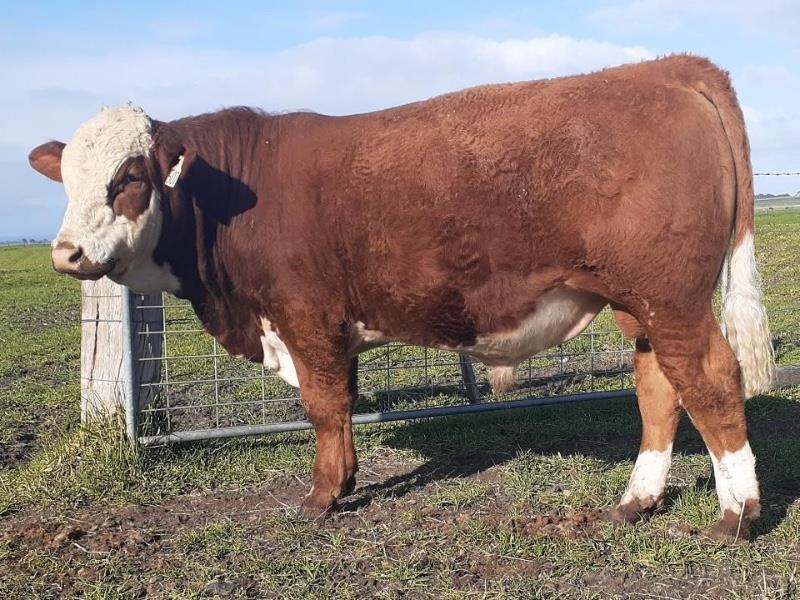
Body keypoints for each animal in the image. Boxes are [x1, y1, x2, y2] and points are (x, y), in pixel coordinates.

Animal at [29, 55, 773, 541]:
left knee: (711, 378)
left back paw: (736, 514)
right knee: (660, 386)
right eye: (66, 180)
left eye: (128, 178)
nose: (66, 253)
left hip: (671, 296)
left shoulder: (306, 317)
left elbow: (325, 405)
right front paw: (343, 482)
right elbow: (341, 406)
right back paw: (636, 502)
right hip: (639, 303)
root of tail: (663, 68)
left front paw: (324, 495)